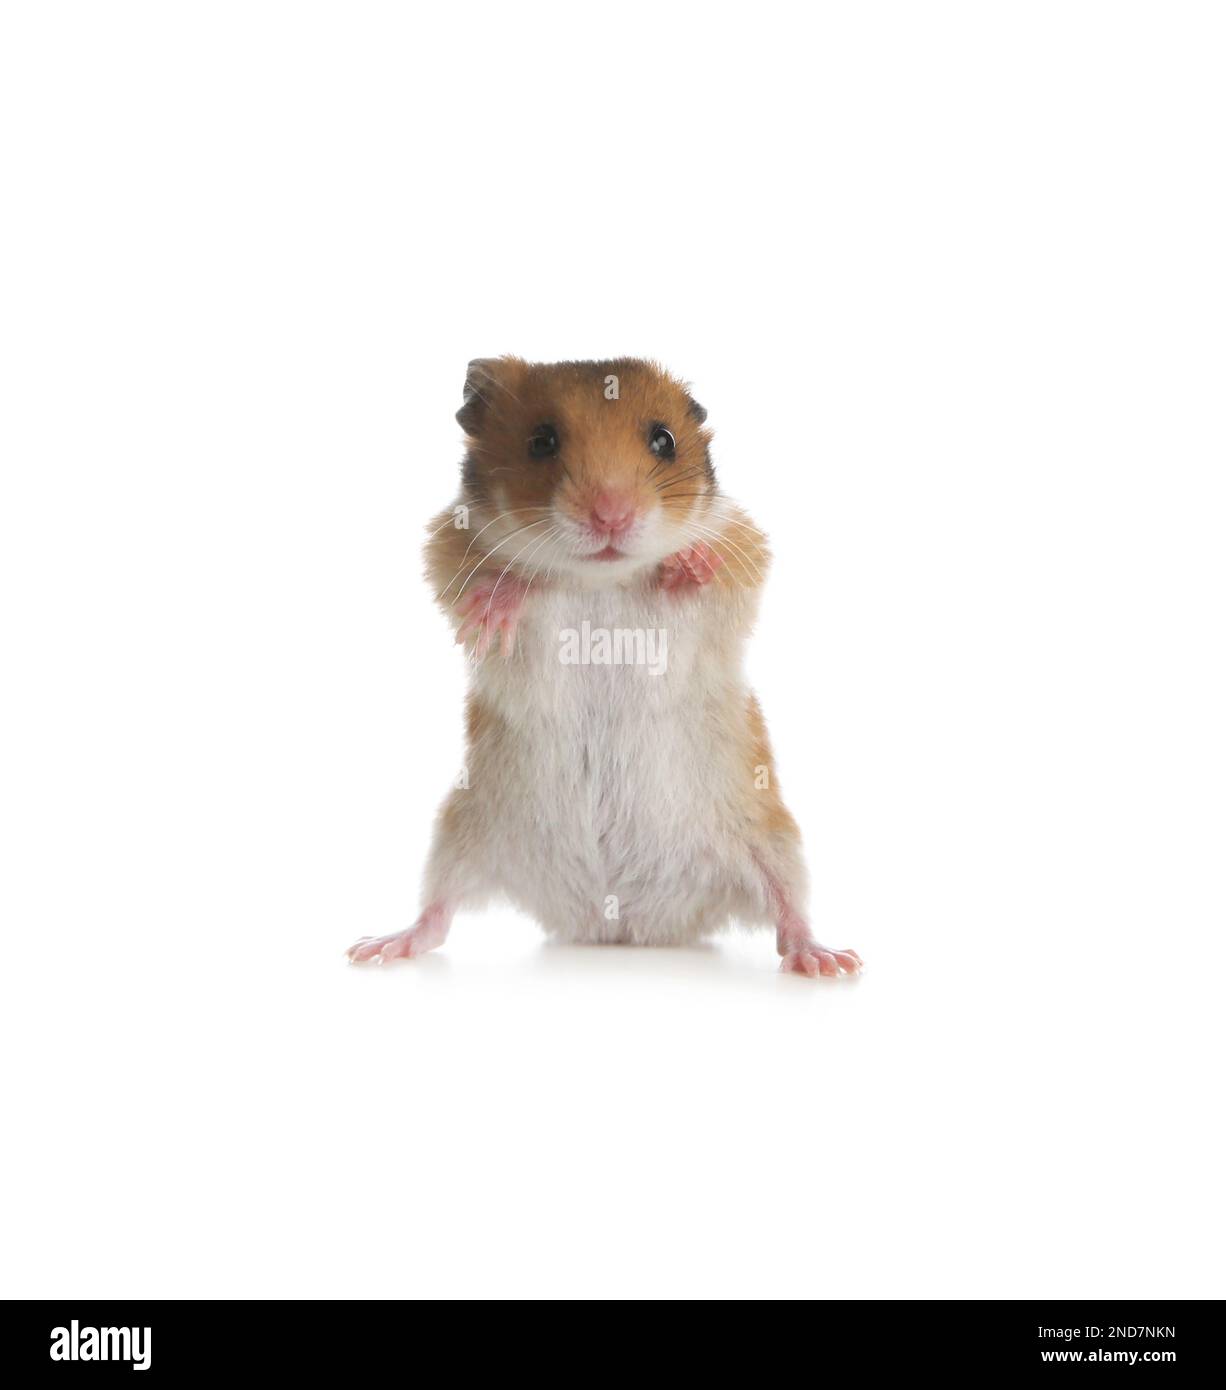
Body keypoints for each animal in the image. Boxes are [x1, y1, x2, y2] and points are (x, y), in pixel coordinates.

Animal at [347, 357, 862, 978]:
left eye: (664, 441)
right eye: (541, 442)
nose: (612, 515)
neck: (603, 578)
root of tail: (618, 923)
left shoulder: (741, 567)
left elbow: (703, 580)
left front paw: (687, 563)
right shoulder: (448, 556)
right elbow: (521, 584)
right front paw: (494, 611)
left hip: (772, 838)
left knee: (789, 913)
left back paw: (829, 961)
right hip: (459, 833)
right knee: (437, 913)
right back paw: (378, 948)